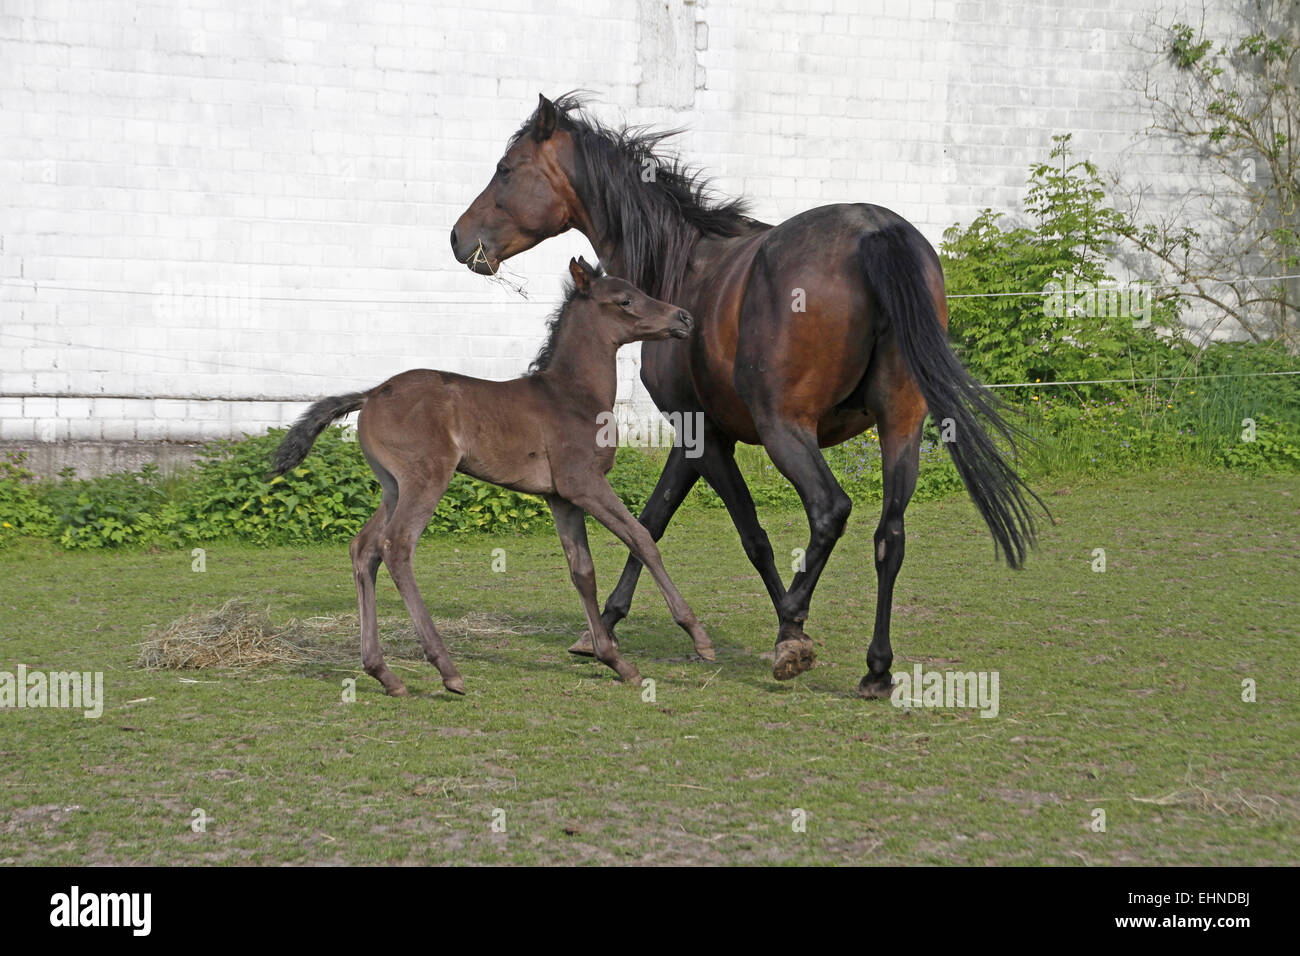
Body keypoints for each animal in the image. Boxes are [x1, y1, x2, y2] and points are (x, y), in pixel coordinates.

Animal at [271, 257, 714, 696]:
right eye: (625, 299)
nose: (684, 317)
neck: (572, 395)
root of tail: (373, 393)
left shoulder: (561, 498)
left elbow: (582, 571)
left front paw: (614, 660)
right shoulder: (584, 483)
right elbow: (641, 539)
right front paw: (698, 636)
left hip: (393, 486)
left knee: (364, 549)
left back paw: (384, 673)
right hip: (426, 479)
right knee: (396, 546)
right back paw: (446, 668)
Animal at [451, 94, 1046, 698]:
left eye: (506, 169)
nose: (457, 238)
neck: (683, 261)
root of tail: (875, 229)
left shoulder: (704, 436)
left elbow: (747, 534)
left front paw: (789, 631)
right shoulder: (696, 438)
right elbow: (652, 520)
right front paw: (609, 624)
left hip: (788, 429)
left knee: (830, 510)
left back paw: (792, 626)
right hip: (900, 425)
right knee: (890, 535)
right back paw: (876, 669)